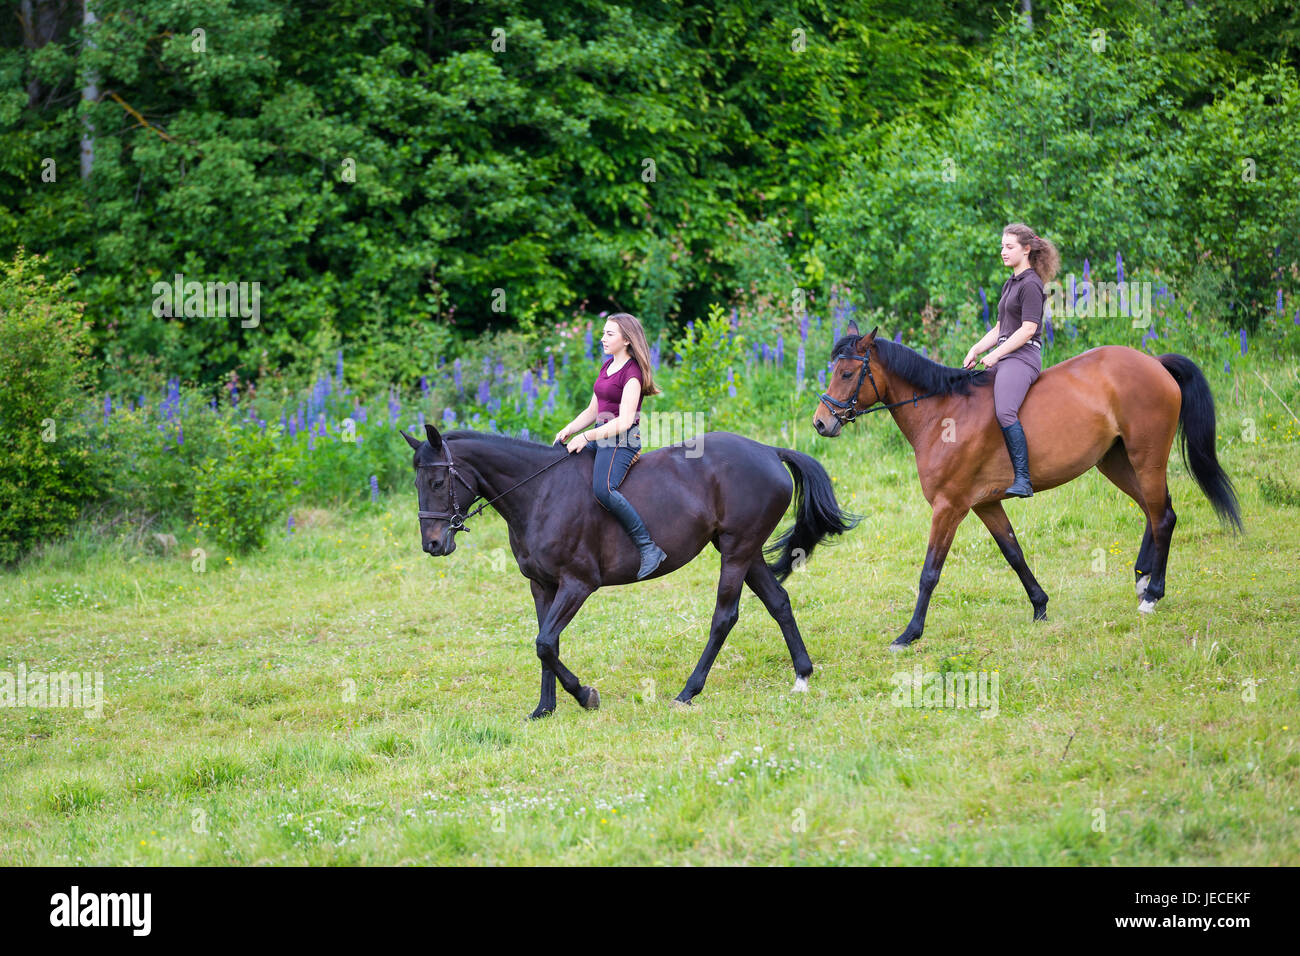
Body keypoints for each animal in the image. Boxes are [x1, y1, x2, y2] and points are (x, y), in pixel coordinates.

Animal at [403, 424, 859, 717]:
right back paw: (802, 676)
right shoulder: (542, 586)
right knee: (778, 601)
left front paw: (585, 695)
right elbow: (546, 645)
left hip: (736, 551)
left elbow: (545, 643)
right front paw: (544, 708)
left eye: (438, 483)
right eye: (418, 484)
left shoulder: (578, 583)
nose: (433, 545)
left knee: (725, 617)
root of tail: (767, 451)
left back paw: (687, 692)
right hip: (746, 552)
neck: (539, 493)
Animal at [811, 322, 1242, 651]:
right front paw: (1040, 606)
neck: (943, 412)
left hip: (1145, 458)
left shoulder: (950, 506)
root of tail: (1154, 363)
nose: (821, 422)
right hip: (1115, 462)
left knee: (1163, 515)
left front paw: (909, 634)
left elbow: (930, 572)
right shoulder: (984, 504)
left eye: (847, 373)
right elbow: (1013, 553)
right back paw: (1142, 579)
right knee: (1153, 511)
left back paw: (1153, 594)